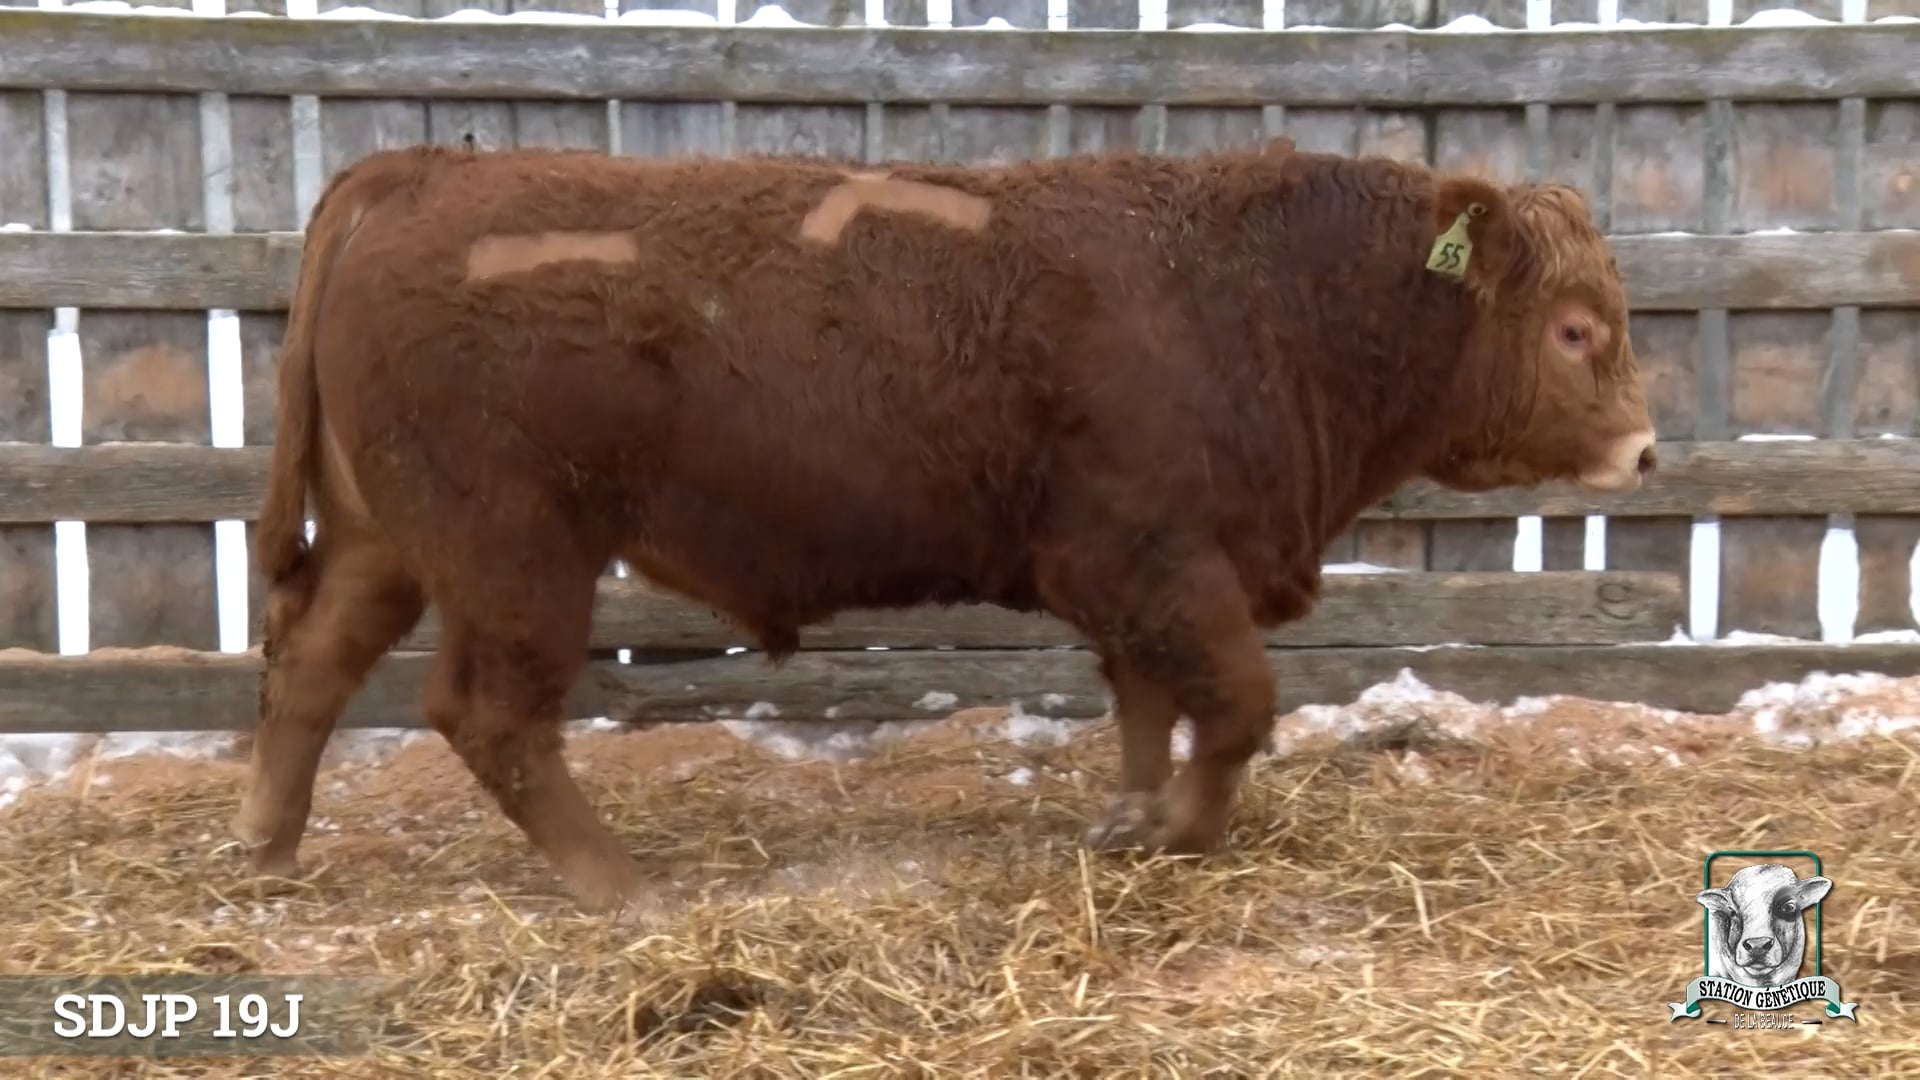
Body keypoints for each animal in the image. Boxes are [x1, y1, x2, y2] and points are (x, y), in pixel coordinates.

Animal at [230, 138, 1656, 914]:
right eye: (1576, 329)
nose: (1643, 448)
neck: (1253, 291)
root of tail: (417, 173)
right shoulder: (1162, 564)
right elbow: (1236, 705)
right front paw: (1183, 835)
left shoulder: (1135, 583)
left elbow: (1147, 707)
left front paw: (1128, 820)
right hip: (517, 559)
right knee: (489, 718)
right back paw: (623, 888)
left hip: (390, 546)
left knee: (309, 668)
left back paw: (269, 851)